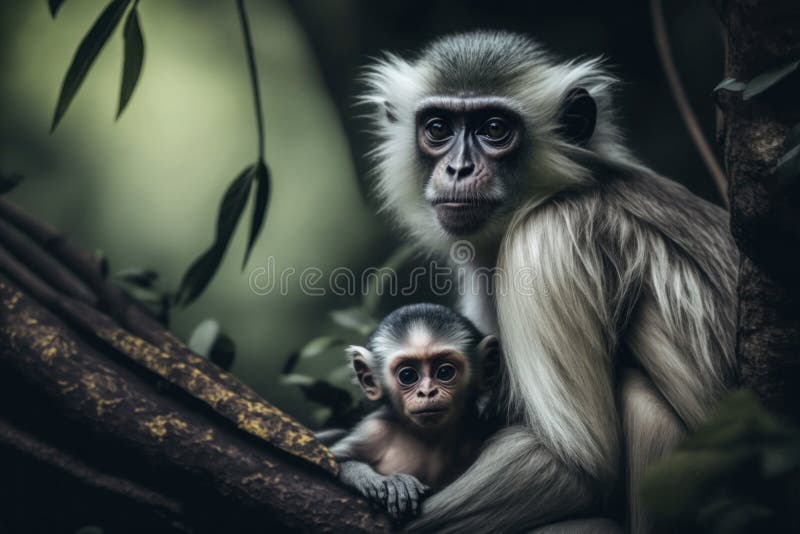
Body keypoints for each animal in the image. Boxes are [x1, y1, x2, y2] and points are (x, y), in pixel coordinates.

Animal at [329, 303, 501, 522]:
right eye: (408, 375)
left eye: (445, 372)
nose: (427, 392)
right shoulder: (375, 429)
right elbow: (335, 460)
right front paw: (392, 483)